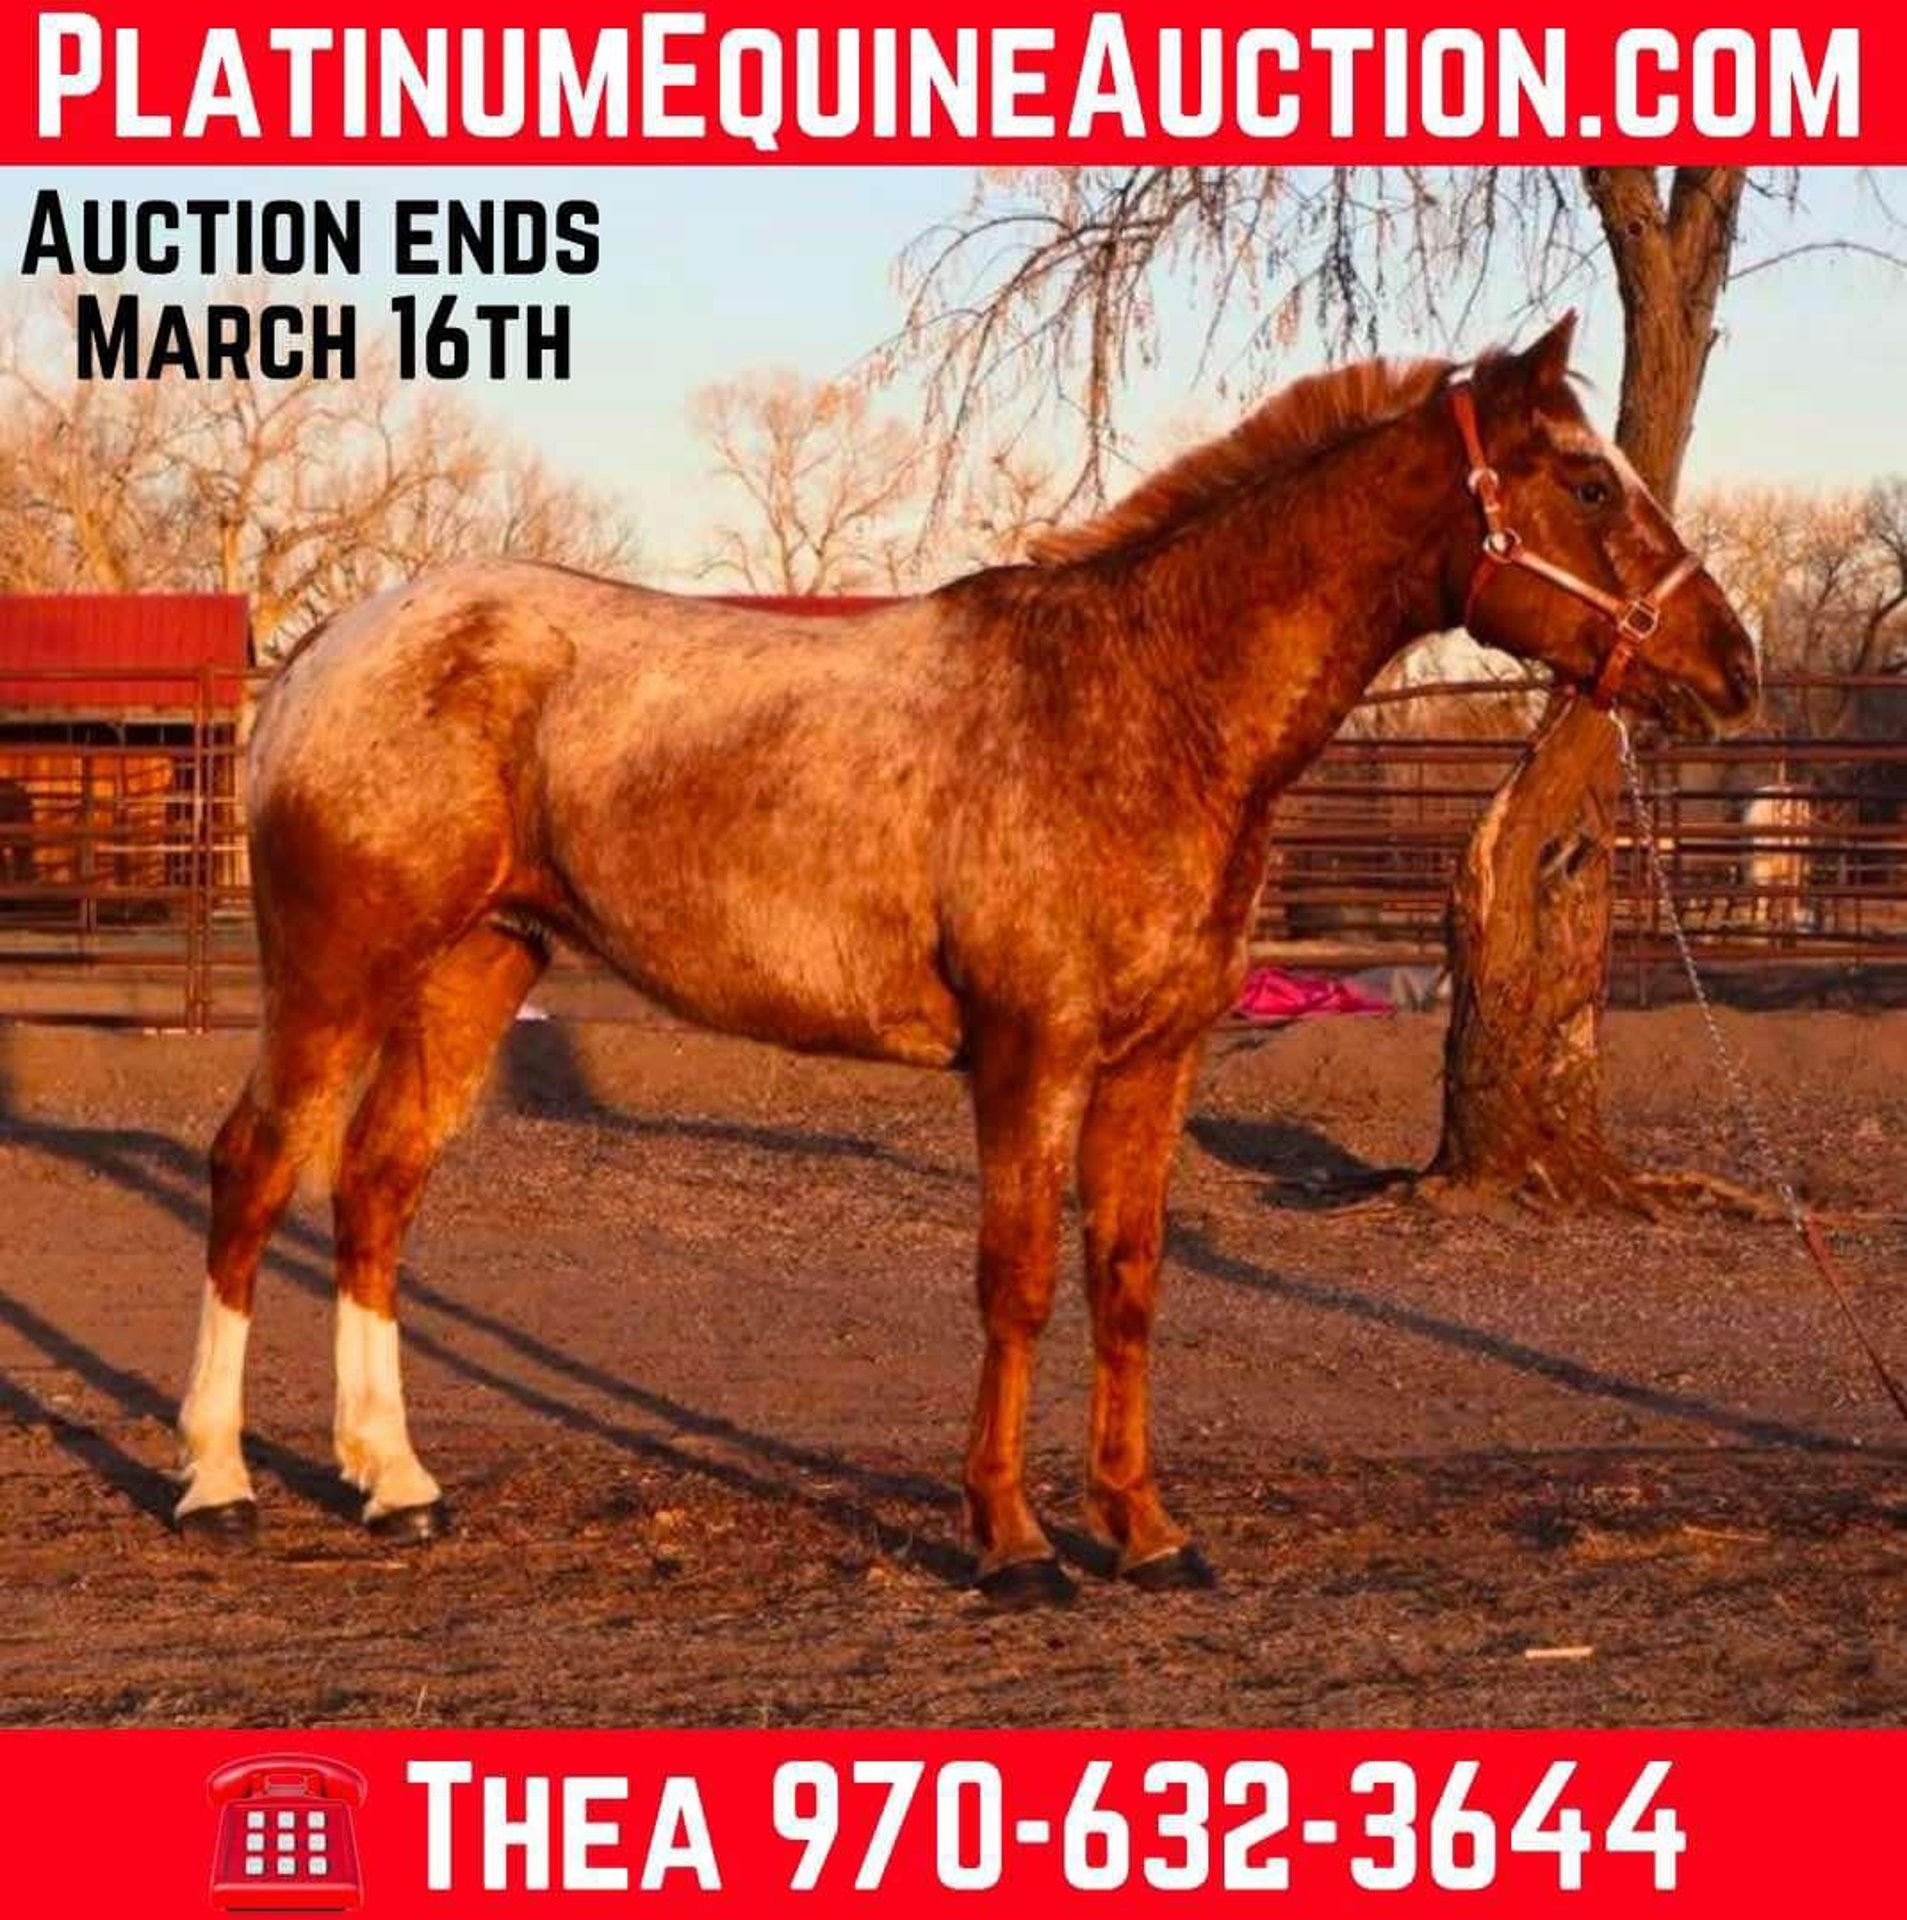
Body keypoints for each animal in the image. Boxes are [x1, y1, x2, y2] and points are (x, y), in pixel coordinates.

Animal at [175, 314, 1759, 1606]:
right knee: (256, 1168)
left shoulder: (1152, 1063)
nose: (1730, 663)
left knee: (375, 1191)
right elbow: (1019, 1283)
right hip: (337, 977)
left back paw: (395, 1486)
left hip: (475, 971)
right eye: (1587, 484)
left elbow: (1126, 1279)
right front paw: (1010, 1543)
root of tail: (328, 650)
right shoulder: (1029, 1057)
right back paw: (217, 1485)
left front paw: (1145, 1532)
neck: (1142, 702)